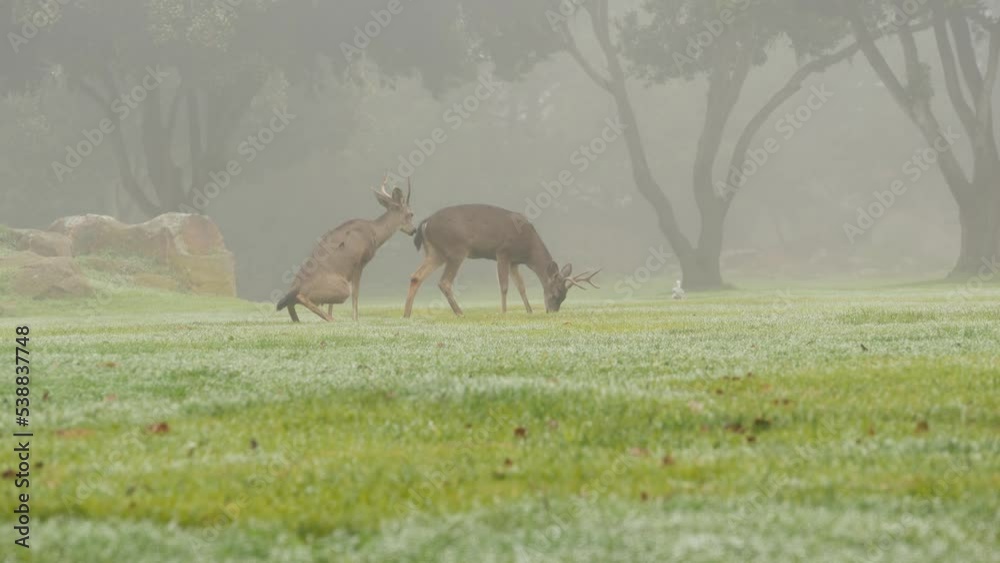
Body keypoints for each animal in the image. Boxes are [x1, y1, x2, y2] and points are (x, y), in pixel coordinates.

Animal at [277, 174, 415, 322]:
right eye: (411, 214)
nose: (413, 230)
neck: (374, 232)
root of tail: (295, 287)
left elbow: (332, 304)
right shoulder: (359, 262)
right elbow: (356, 294)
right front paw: (356, 320)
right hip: (342, 288)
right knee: (299, 297)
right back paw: (332, 320)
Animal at [403, 204, 599, 317]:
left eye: (565, 296)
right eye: (557, 293)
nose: (552, 311)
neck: (528, 249)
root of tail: (426, 222)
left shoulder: (514, 261)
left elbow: (521, 287)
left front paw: (529, 310)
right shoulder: (502, 252)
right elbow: (504, 285)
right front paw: (504, 312)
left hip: (435, 252)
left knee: (416, 276)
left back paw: (407, 314)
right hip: (456, 249)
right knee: (444, 282)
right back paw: (459, 312)